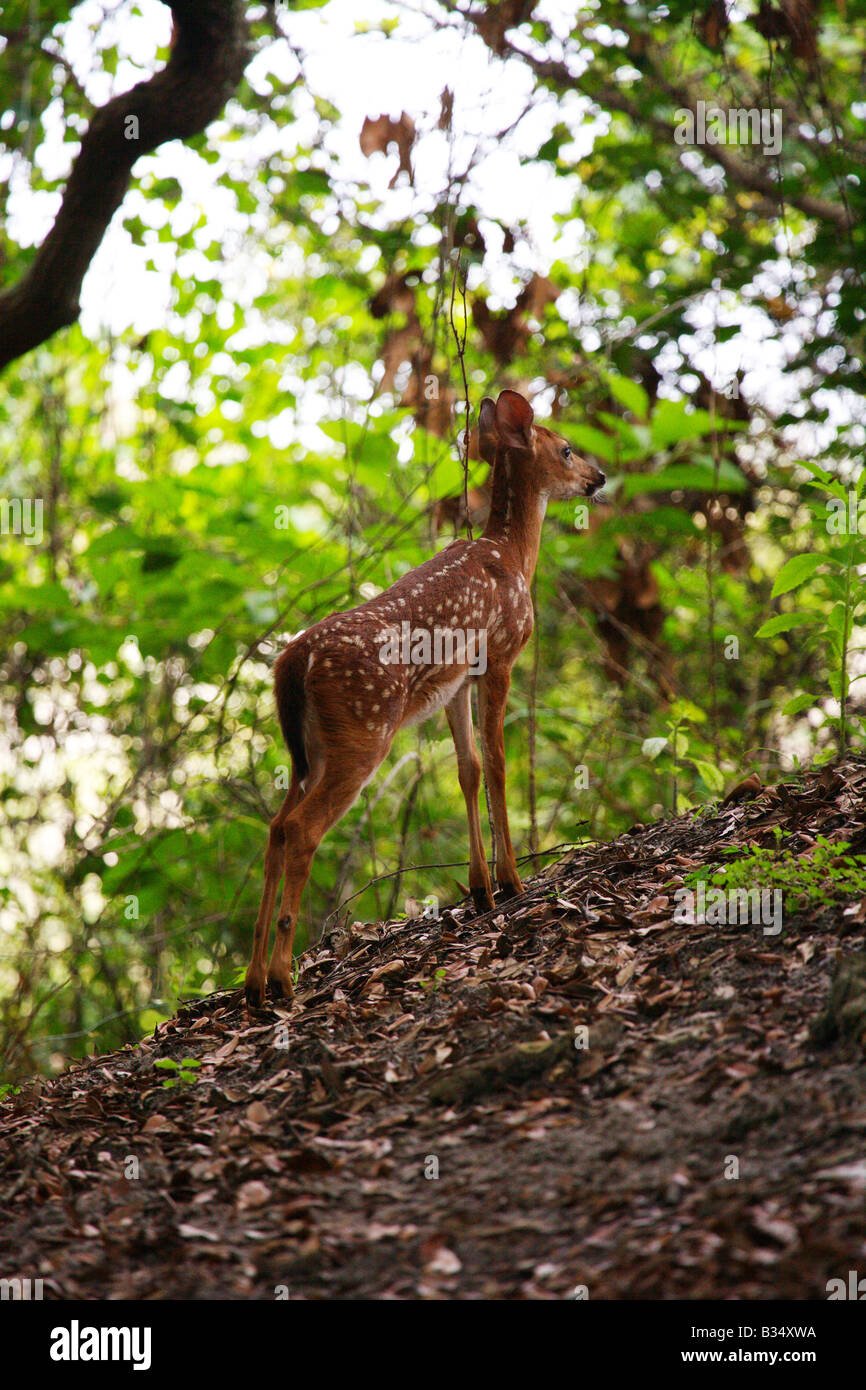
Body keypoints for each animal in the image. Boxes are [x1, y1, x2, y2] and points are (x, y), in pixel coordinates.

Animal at [244, 389, 605, 1007]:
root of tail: (294, 663)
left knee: (275, 824)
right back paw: (282, 978)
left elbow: (468, 769)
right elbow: (500, 763)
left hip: (306, 747)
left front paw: (481, 892)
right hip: (362, 730)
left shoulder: (455, 683)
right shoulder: (501, 654)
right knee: (301, 829)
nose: (598, 477)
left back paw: (250, 985)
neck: (513, 556)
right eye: (566, 448)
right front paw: (513, 881)